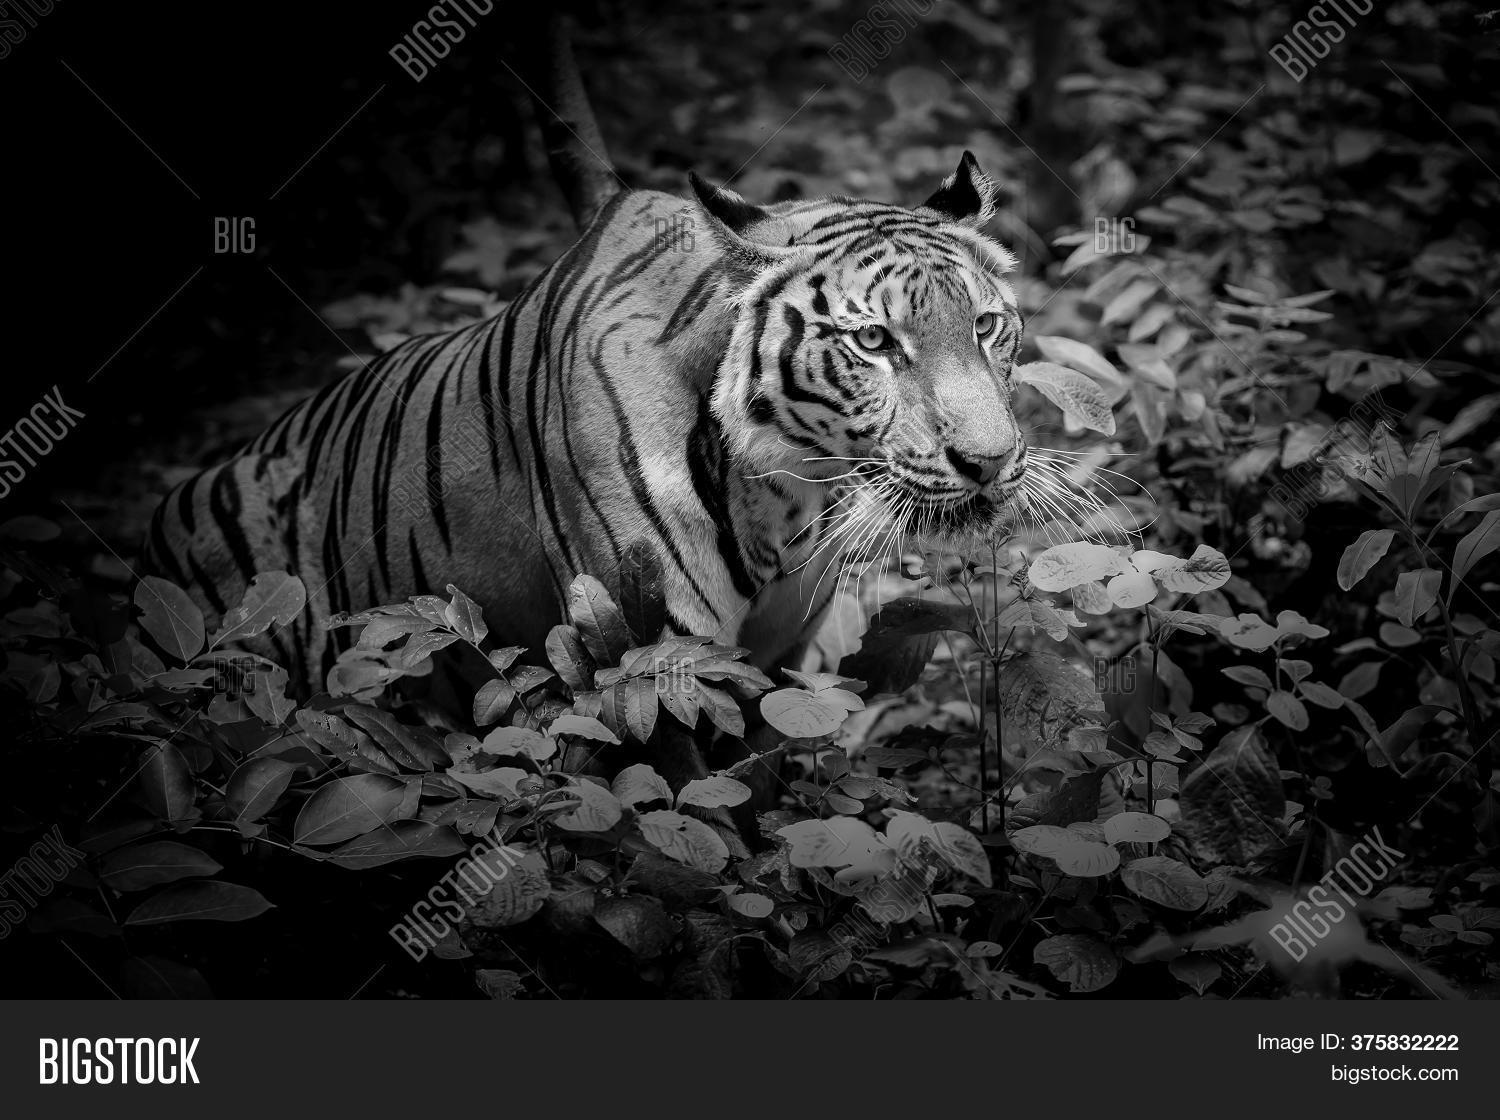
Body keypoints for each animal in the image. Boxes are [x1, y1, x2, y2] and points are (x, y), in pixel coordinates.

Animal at [142, 151, 1029, 695]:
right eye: (873, 342)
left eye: (985, 326)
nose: (988, 460)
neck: (791, 488)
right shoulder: (659, 647)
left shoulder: (782, 648)